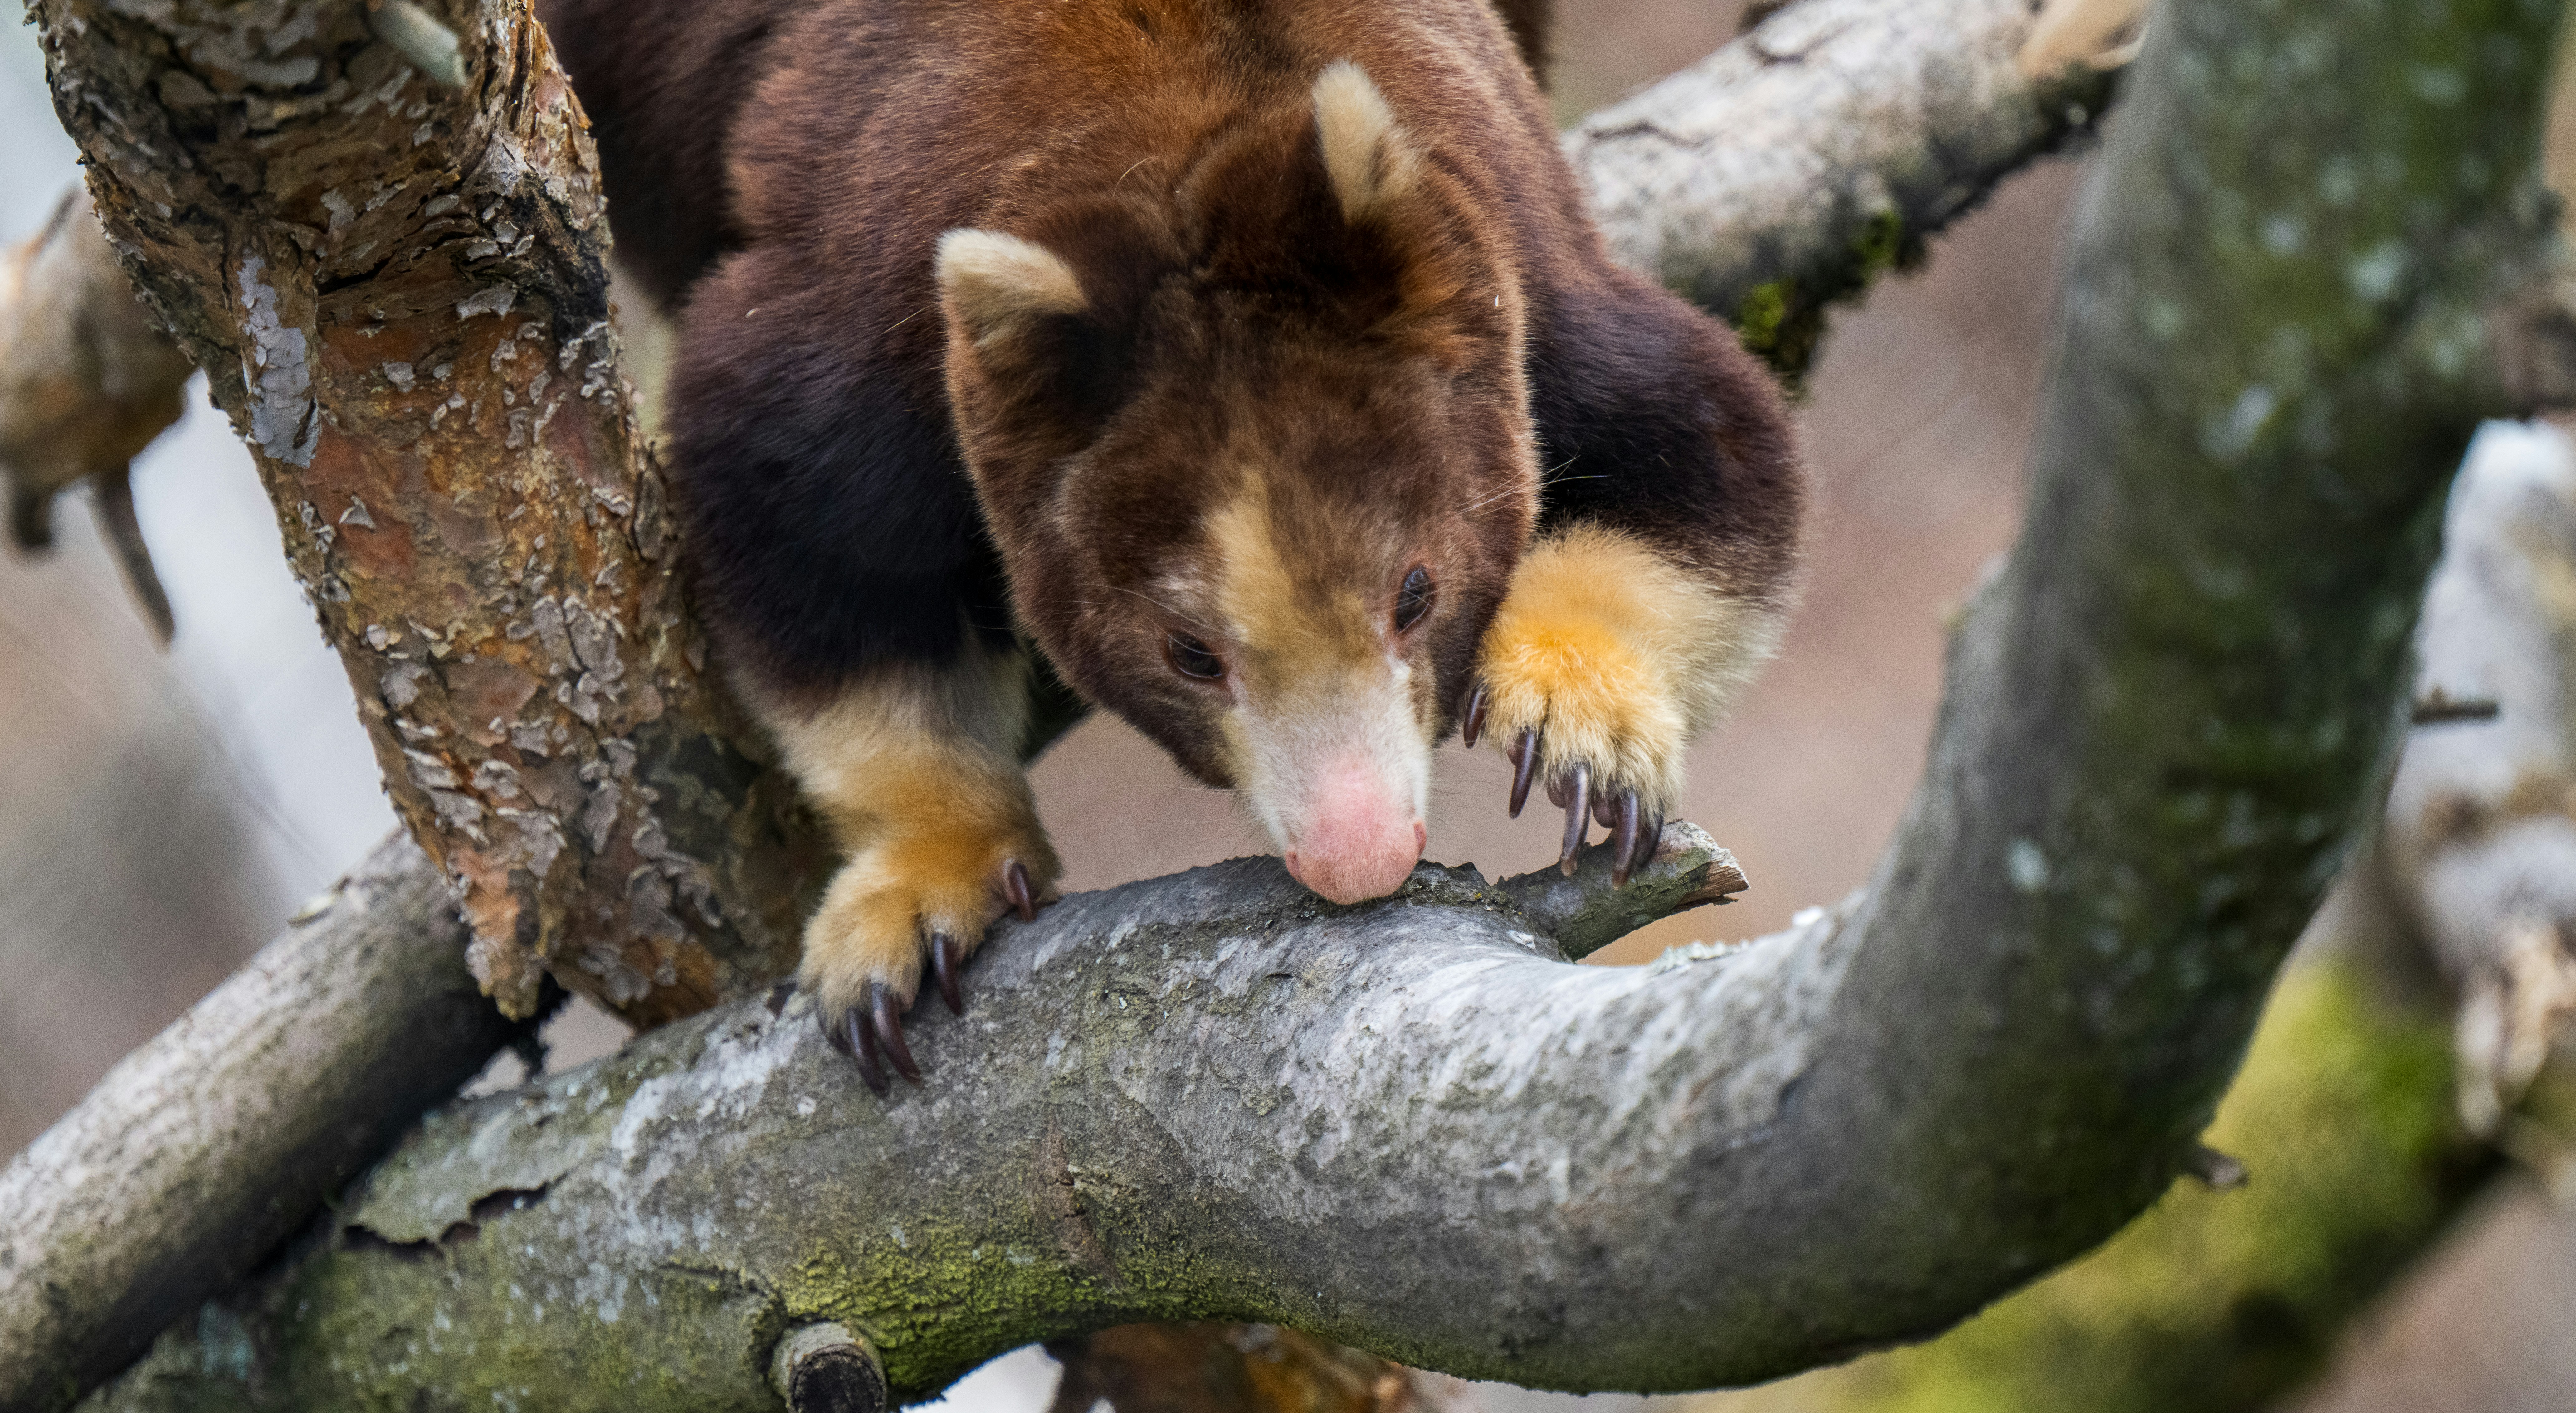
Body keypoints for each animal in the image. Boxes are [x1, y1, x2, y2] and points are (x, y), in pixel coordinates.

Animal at [536, 0, 1804, 1091]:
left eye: (1415, 592)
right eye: (1190, 654)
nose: (1361, 862)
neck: (1182, 139)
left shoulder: (1512, 275)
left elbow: (1705, 440)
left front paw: (1580, 733)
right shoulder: (863, 329)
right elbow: (799, 535)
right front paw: (921, 894)